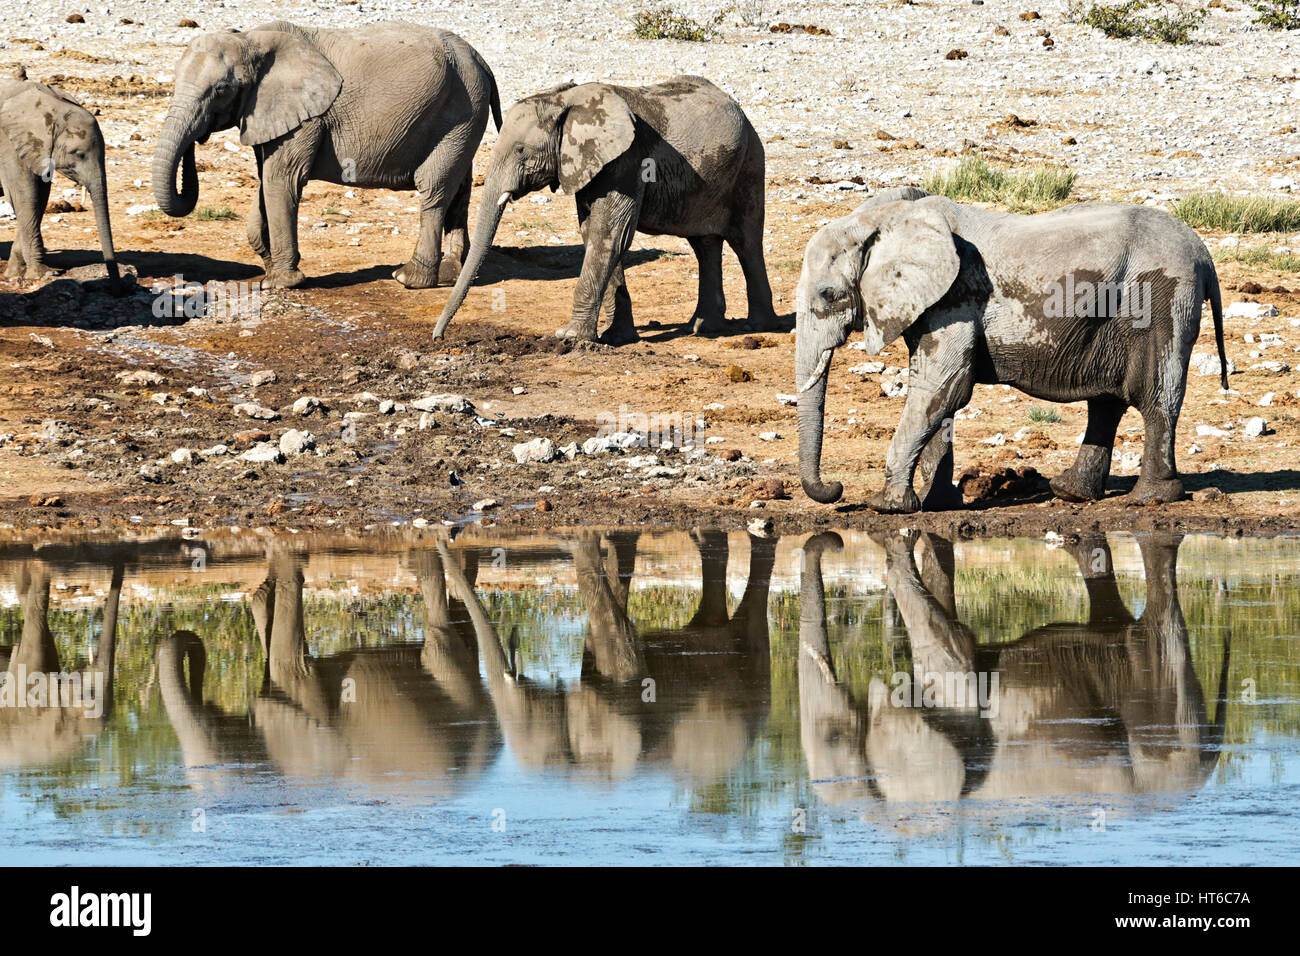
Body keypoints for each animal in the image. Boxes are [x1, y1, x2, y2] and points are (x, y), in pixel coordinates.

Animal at [0, 76, 119, 281]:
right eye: (78, 154)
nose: (117, 285)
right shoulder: (9, 145)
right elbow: (26, 197)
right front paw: (42, 274)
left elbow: (39, 199)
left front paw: (14, 274)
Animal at [152, 21, 501, 290]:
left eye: (221, 90)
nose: (198, 140)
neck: (251, 38)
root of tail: (482, 61)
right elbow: (266, 180)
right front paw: (269, 268)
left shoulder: (308, 118)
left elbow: (283, 179)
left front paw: (281, 283)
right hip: (465, 115)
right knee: (459, 188)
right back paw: (452, 274)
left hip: (460, 111)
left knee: (434, 188)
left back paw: (409, 279)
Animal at [432, 76, 778, 344]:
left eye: (520, 151)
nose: (439, 337)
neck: (565, 100)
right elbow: (593, 234)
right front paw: (615, 337)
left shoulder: (626, 160)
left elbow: (609, 234)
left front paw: (570, 337)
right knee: (704, 245)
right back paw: (703, 328)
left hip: (750, 164)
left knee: (746, 242)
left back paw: (758, 325)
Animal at [793, 187, 1230, 512]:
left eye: (829, 295)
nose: (836, 489)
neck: (881, 220)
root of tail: (1205, 255)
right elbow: (936, 394)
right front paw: (939, 504)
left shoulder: (956, 297)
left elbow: (942, 387)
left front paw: (886, 506)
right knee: (1107, 402)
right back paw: (1071, 492)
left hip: (1161, 300)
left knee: (1155, 396)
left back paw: (1149, 499)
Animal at [797, 531, 1230, 833]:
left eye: (833, 736)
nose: (834, 542)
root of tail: (1209, 761)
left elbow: (949, 643)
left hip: (1166, 721)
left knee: (1153, 636)